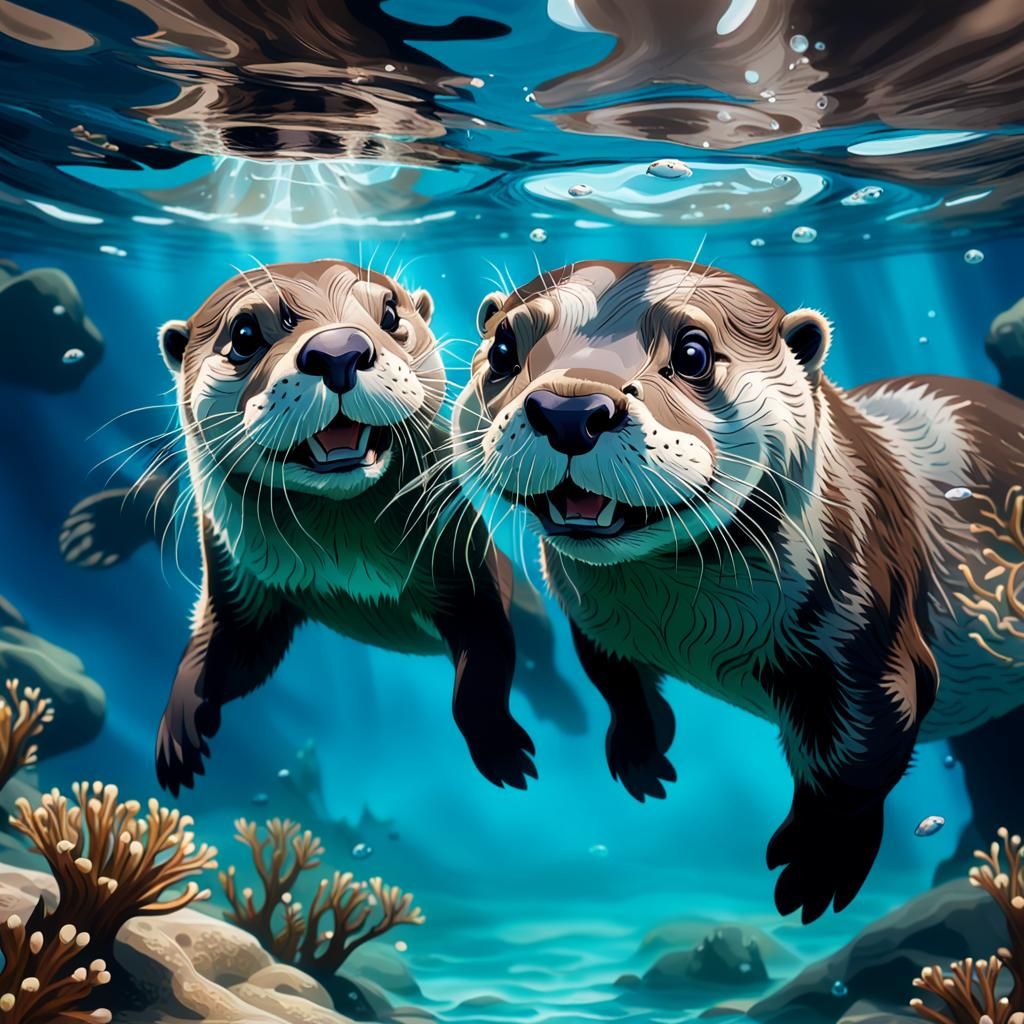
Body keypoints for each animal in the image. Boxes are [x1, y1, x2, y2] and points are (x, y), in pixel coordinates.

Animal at [155, 259, 538, 795]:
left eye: (391, 313)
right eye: (244, 333)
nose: (339, 350)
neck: (344, 563)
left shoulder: (457, 559)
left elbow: (486, 646)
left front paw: (498, 744)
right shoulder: (239, 574)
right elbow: (225, 653)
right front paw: (179, 731)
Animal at [452, 259, 1024, 923]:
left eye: (693, 352)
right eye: (503, 348)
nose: (570, 409)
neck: (687, 629)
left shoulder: (866, 632)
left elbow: (861, 757)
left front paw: (818, 862)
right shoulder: (592, 618)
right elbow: (614, 679)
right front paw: (642, 753)